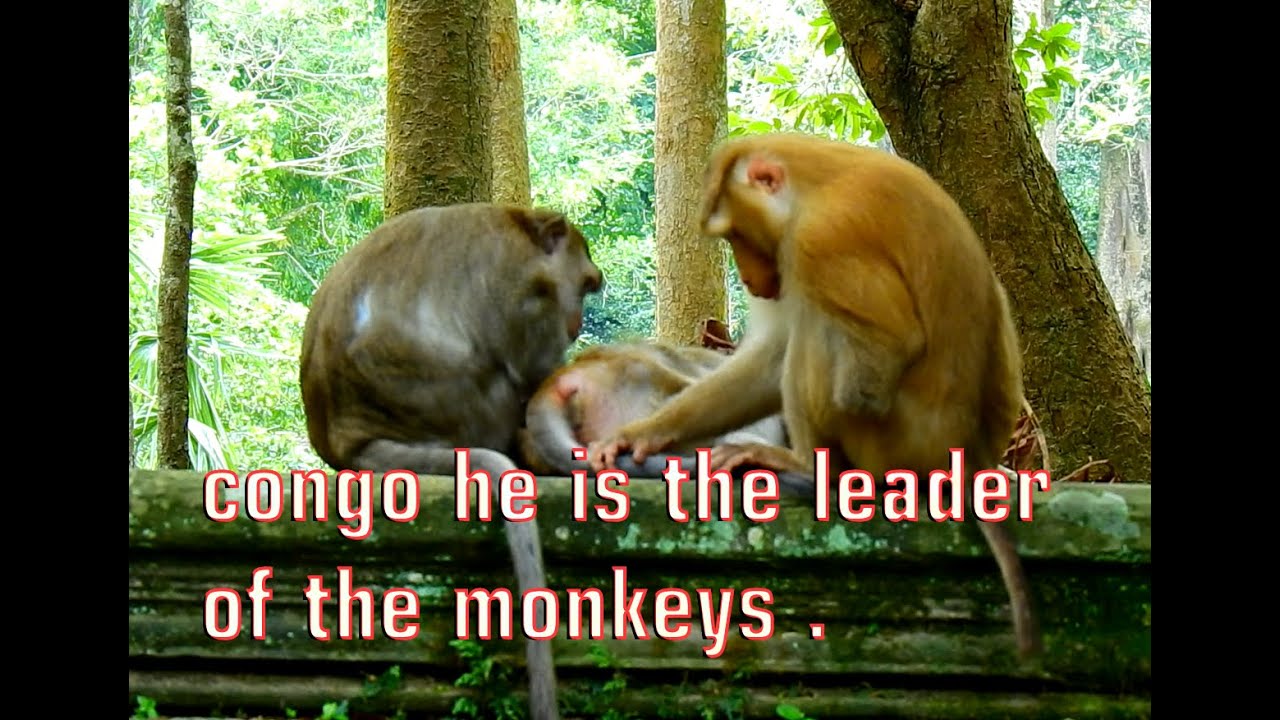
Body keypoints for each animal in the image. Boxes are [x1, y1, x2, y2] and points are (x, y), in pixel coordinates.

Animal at [300, 202, 603, 720]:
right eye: (583, 285)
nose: (576, 324)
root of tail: (348, 440)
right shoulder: (529, 293)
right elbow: (534, 370)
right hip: (475, 411)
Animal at [587, 133, 1043, 662]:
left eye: (735, 233)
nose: (748, 277)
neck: (816, 181)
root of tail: (966, 463)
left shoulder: (816, 241)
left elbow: (889, 346)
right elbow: (767, 363)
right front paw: (641, 434)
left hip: (894, 448)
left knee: (823, 330)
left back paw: (808, 466)